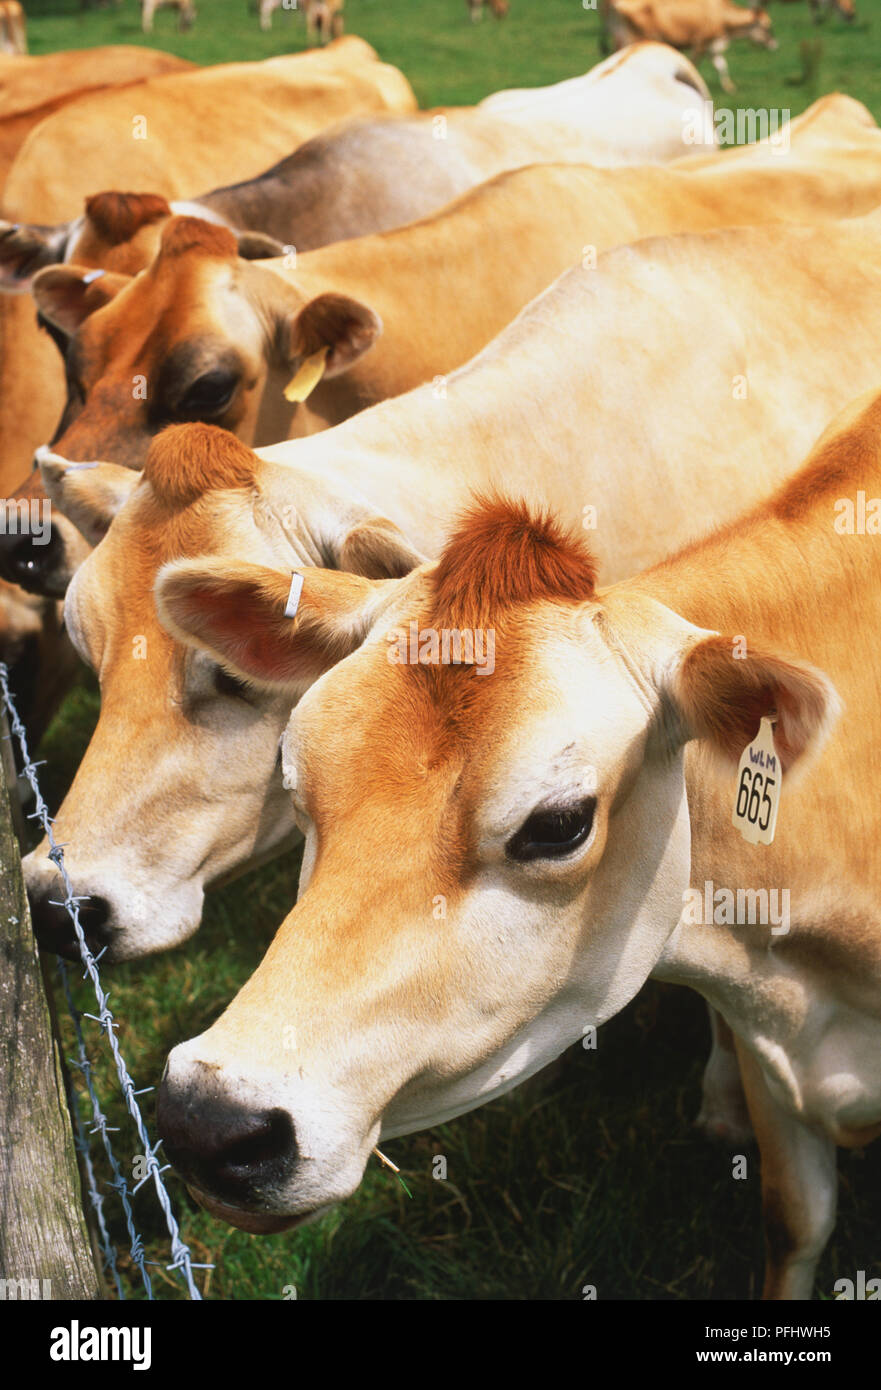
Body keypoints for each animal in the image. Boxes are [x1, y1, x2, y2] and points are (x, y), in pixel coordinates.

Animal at [606, 0, 778, 93]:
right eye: (767, 27)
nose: (775, 44)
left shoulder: (713, 47)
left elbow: (722, 66)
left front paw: (729, 87)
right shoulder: (700, 43)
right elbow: (693, 65)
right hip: (636, 38)